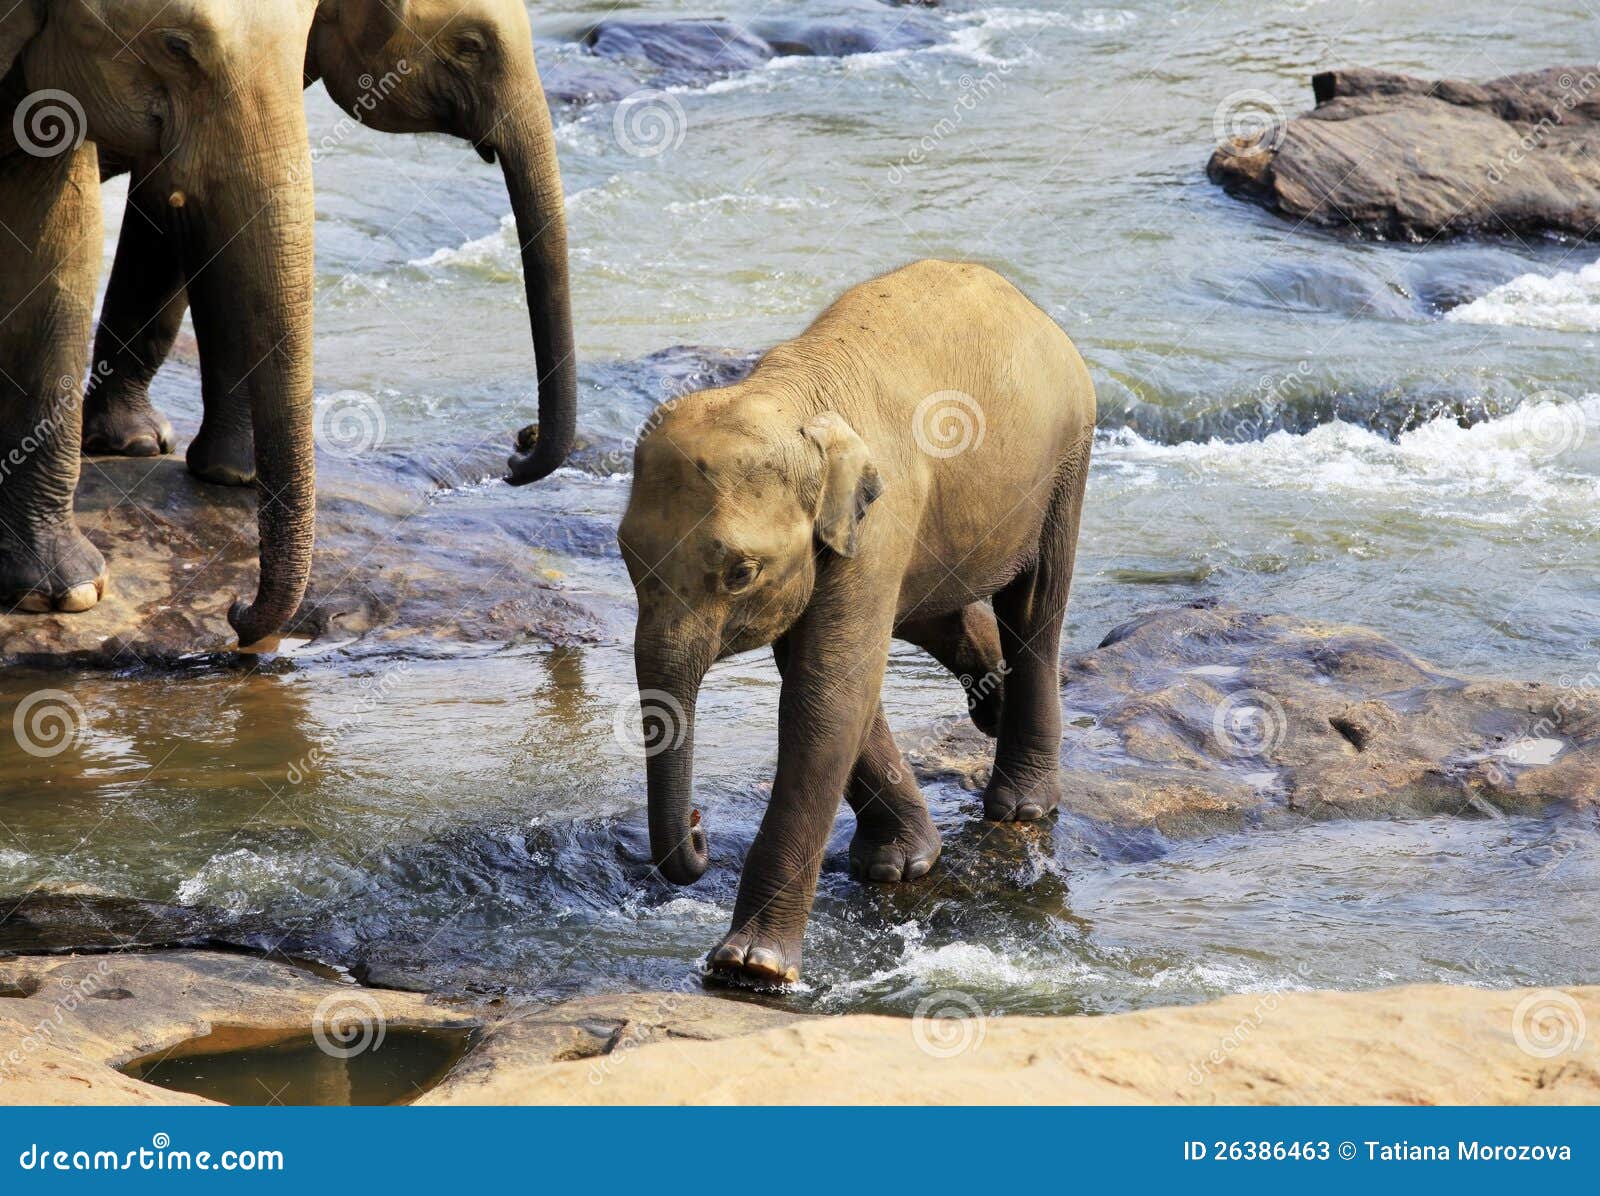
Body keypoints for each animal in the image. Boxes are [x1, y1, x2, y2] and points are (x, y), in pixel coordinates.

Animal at [618, 259, 1097, 984]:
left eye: (740, 574)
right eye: (624, 554)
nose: (699, 830)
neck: (792, 398)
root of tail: (1029, 305)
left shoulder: (877, 524)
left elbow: (827, 692)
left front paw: (753, 967)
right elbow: (830, 678)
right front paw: (899, 865)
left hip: (1066, 454)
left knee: (1036, 607)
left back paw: (1023, 806)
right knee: (938, 610)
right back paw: (991, 706)